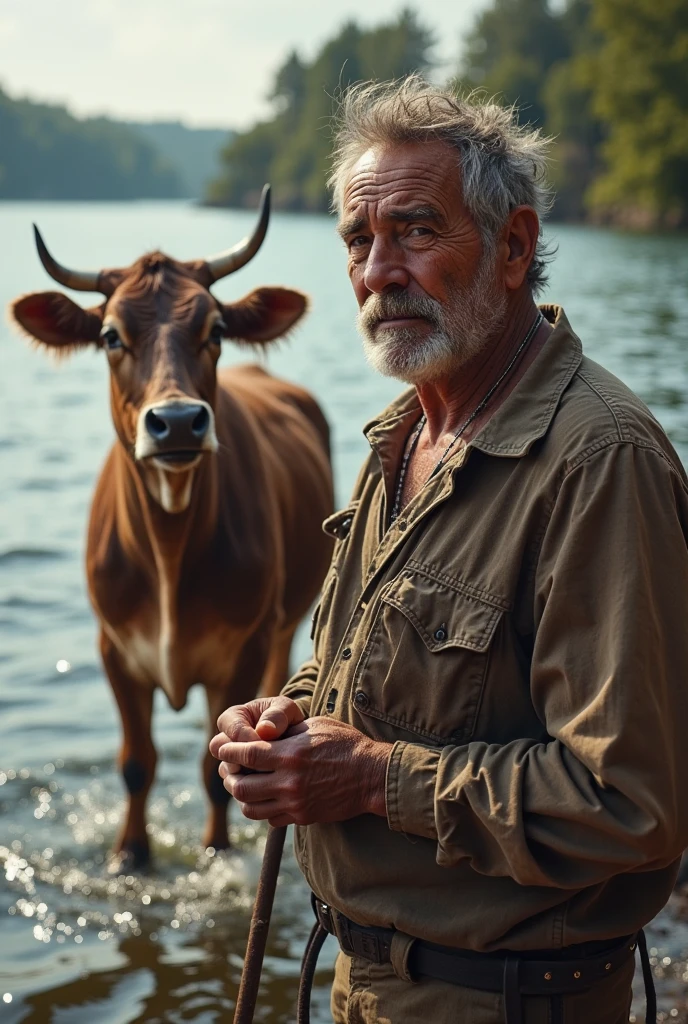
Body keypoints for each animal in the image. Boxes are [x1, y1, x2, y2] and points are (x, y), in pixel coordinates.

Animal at [10, 187, 334, 871]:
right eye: (111, 335)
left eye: (215, 329)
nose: (179, 420)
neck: (168, 547)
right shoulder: (115, 647)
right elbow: (137, 763)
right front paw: (130, 855)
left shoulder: (242, 648)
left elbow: (218, 766)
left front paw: (216, 851)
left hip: (284, 624)